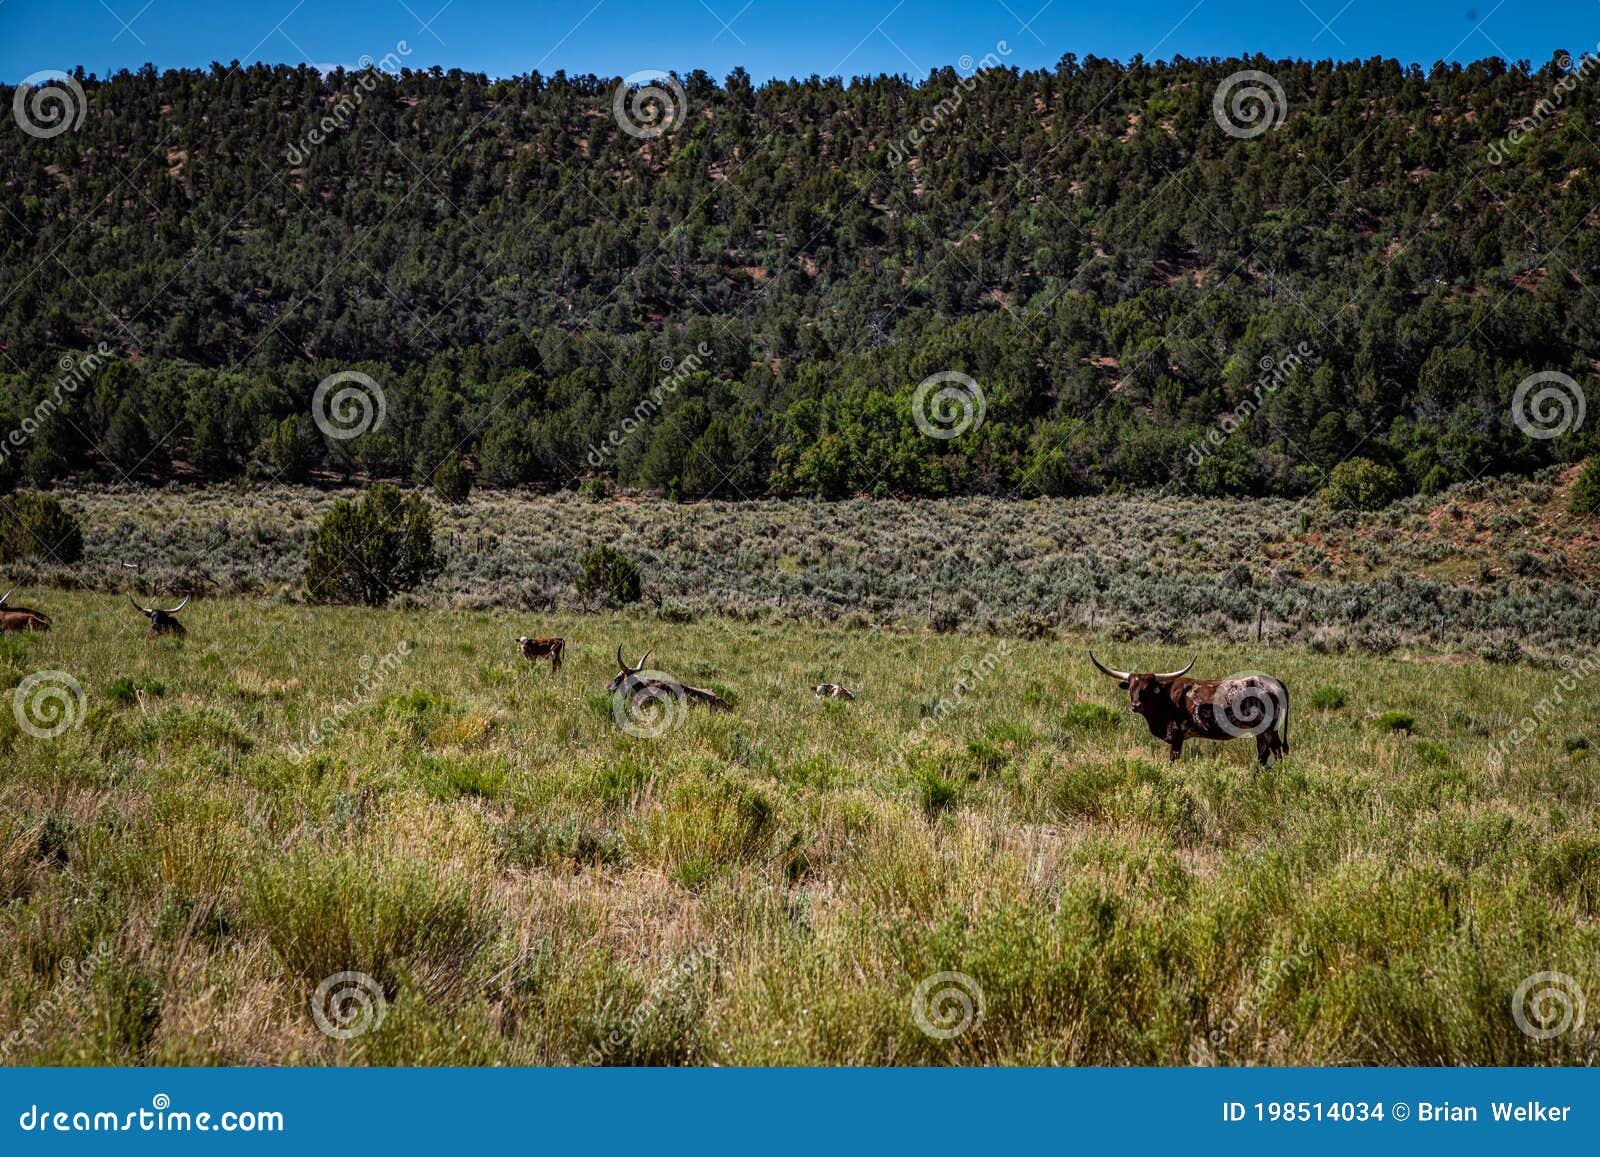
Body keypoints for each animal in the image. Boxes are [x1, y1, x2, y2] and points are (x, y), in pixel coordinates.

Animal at [1088, 651, 1289, 765]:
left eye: (1147, 688)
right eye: (1131, 688)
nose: (1135, 705)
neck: (1164, 699)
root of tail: (1274, 682)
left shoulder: (1177, 735)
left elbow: (1173, 760)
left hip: (1268, 730)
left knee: (1273, 752)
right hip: (1263, 731)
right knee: (1267, 753)